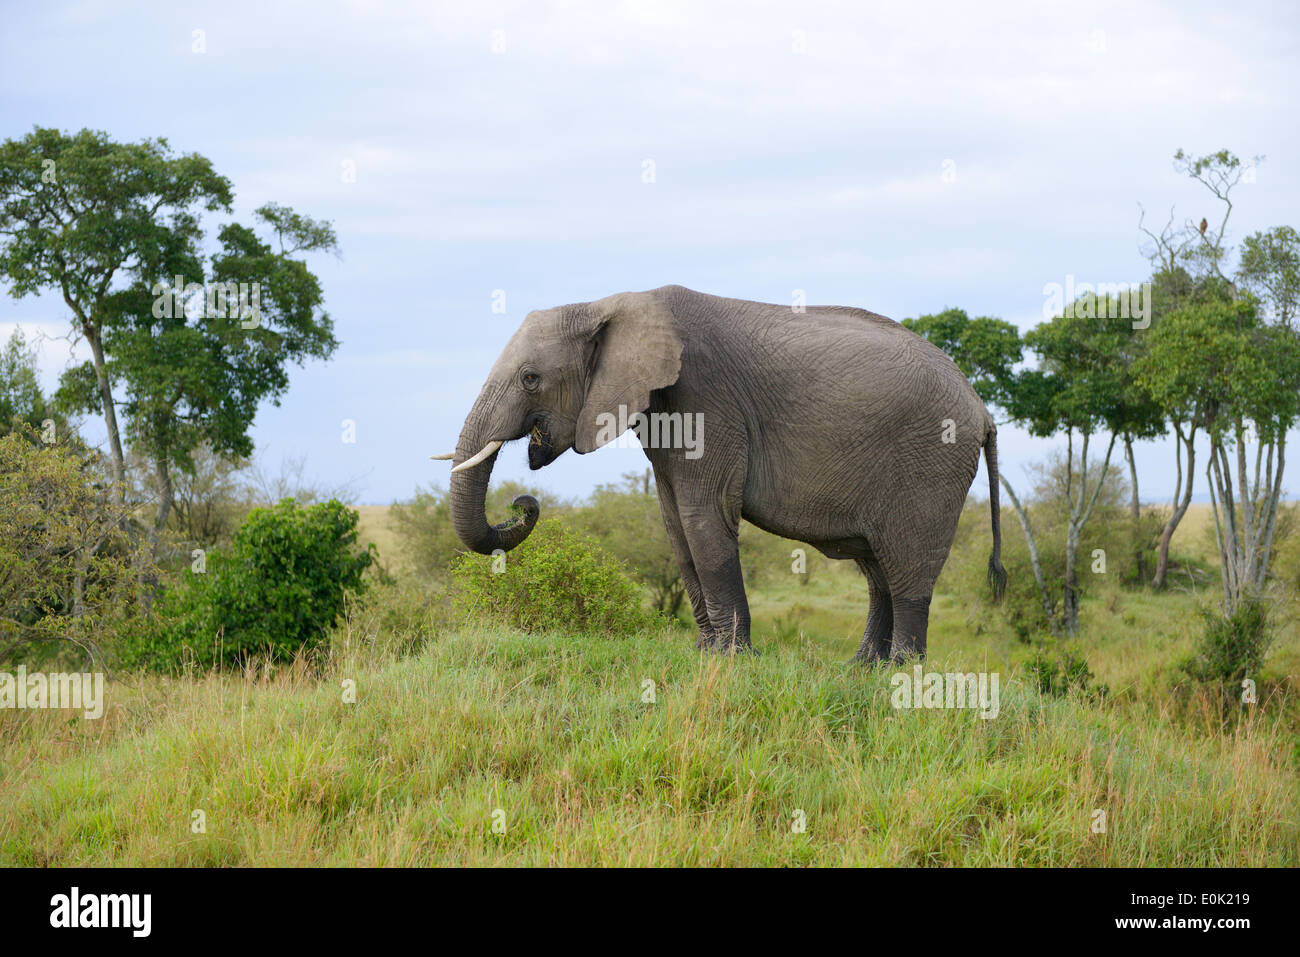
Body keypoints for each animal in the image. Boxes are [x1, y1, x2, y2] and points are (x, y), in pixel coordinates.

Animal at [434, 285, 1006, 661]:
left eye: (531, 378)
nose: (524, 503)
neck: (611, 303)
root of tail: (981, 410)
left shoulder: (704, 400)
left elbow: (703, 519)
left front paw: (733, 662)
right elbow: (676, 527)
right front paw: (705, 653)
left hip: (931, 463)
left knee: (908, 568)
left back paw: (902, 675)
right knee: (878, 570)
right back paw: (863, 669)